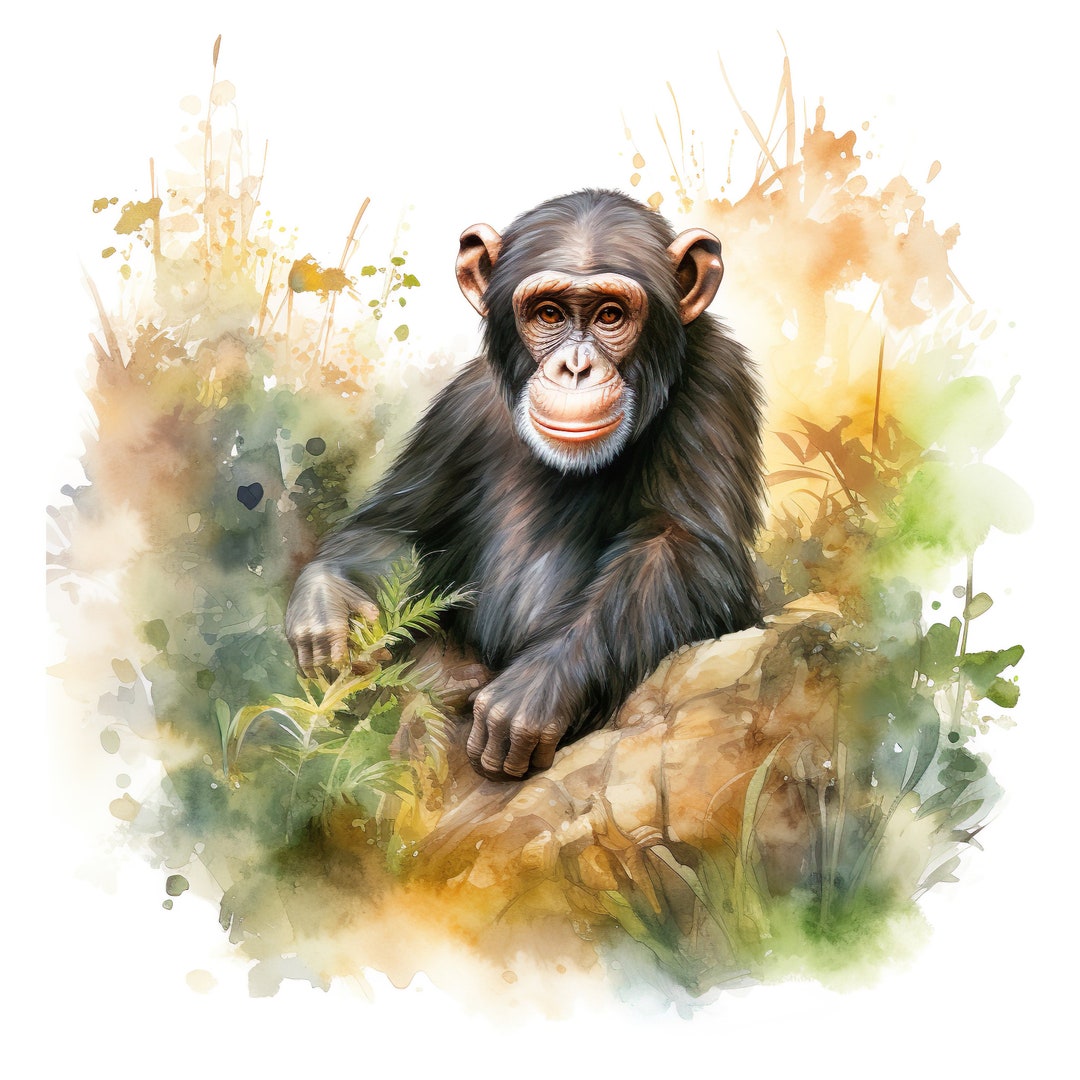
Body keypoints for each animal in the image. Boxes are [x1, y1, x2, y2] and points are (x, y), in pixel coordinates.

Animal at [286, 189, 764, 780]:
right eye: (549, 313)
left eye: (610, 315)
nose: (575, 367)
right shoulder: (461, 407)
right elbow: (396, 531)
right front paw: (329, 597)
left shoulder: (719, 381)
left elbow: (682, 545)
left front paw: (539, 687)